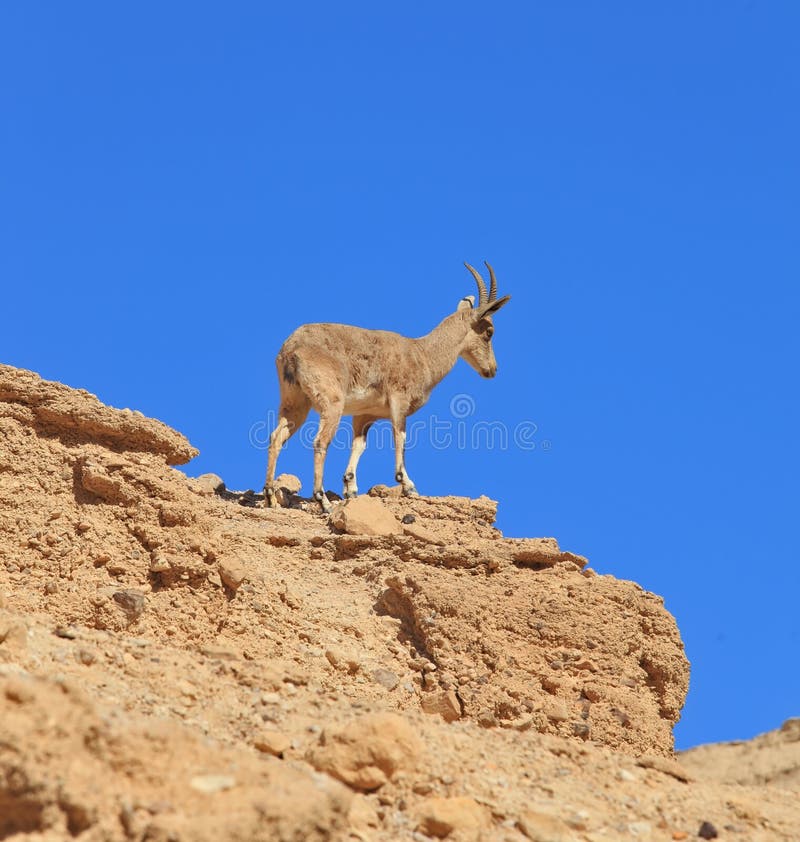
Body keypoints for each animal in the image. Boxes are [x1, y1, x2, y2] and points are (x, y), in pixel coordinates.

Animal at [264, 262, 511, 511]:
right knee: (319, 442)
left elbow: (359, 446)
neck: (422, 355)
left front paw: (350, 488)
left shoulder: (365, 415)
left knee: (276, 438)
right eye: (489, 332)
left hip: (295, 402)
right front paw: (408, 485)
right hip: (332, 403)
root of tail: (291, 348)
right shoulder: (399, 401)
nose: (492, 370)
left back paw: (270, 497)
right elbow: (400, 438)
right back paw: (322, 500)